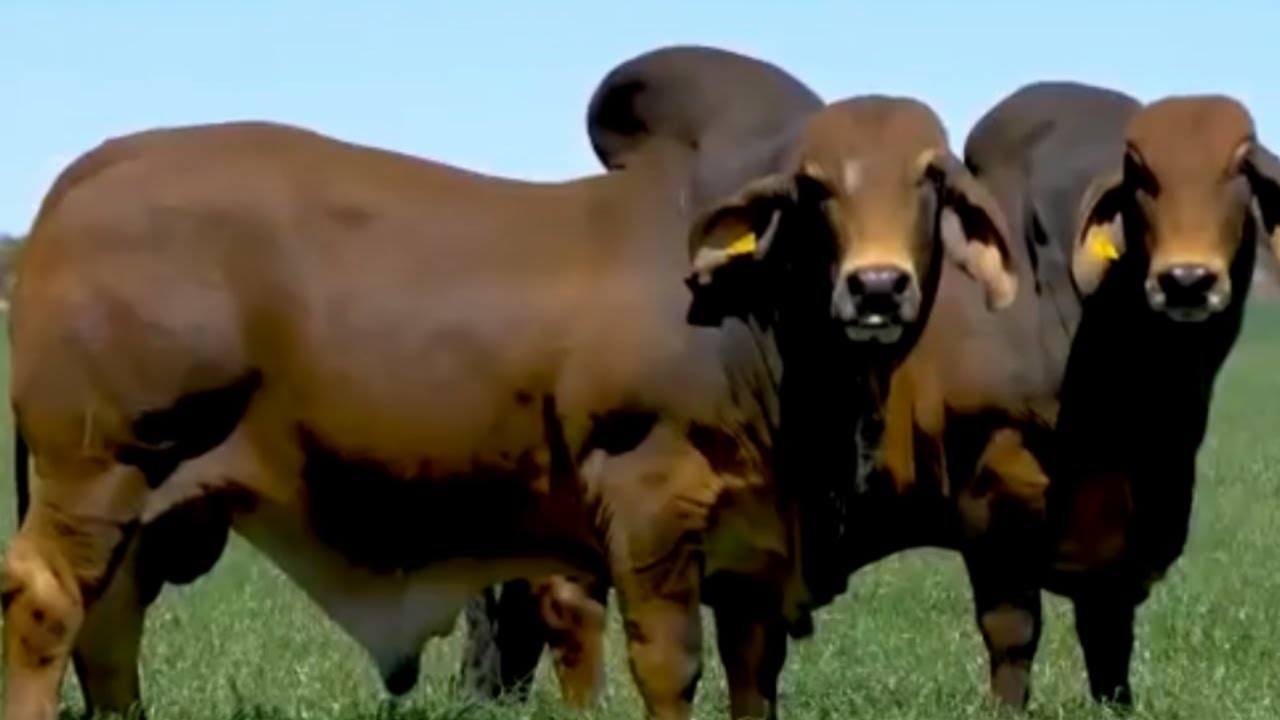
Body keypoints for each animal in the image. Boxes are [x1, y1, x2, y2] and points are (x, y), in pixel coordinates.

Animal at [0, 45, 1018, 720]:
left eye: (931, 180)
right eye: (813, 187)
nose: (878, 286)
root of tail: (90, 175)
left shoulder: (759, 554)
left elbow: (753, 677)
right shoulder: (651, 511)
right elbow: (669, 665)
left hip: (145, 504)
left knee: (112, 623)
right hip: (100, 469)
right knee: (49, 605)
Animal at [461, 81, 1280, 713]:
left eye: (1240, 170)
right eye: (1141, 175)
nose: (1186, 280)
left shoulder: (1121, 546)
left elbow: (1108, 643)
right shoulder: (998, 496)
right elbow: (1014, 631)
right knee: (567, 608)